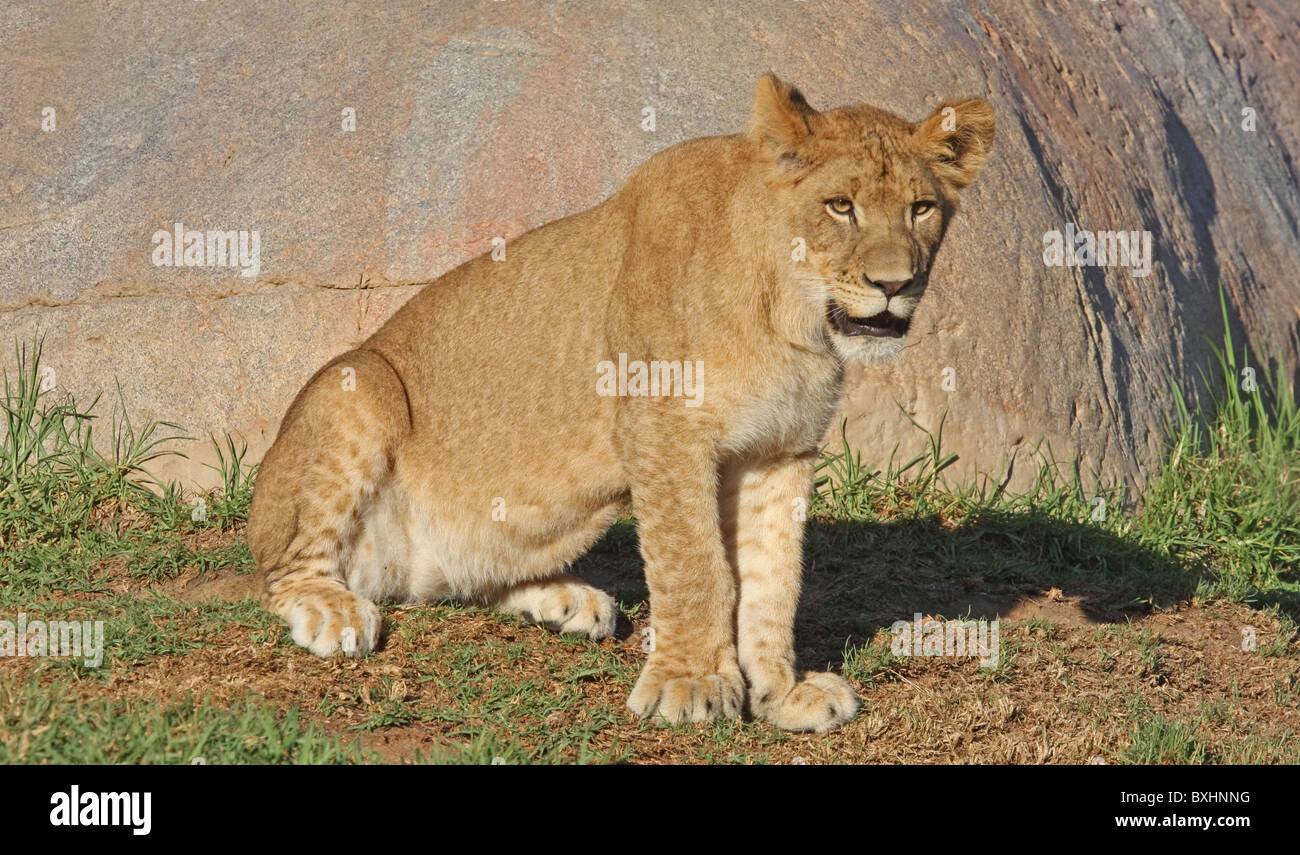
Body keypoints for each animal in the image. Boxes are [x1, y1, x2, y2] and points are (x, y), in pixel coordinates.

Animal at [247, 74, 994, 732]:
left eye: (921, 209)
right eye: (841, 206)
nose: (894, 284)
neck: (793, 316)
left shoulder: (779, 452)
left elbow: (774, 580)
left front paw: (780, 693)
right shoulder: (663, 428)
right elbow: (698, 568)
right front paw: (691, 683)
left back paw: (569, 600)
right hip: (359, 386)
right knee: (287, 569)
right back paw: (334, 611)